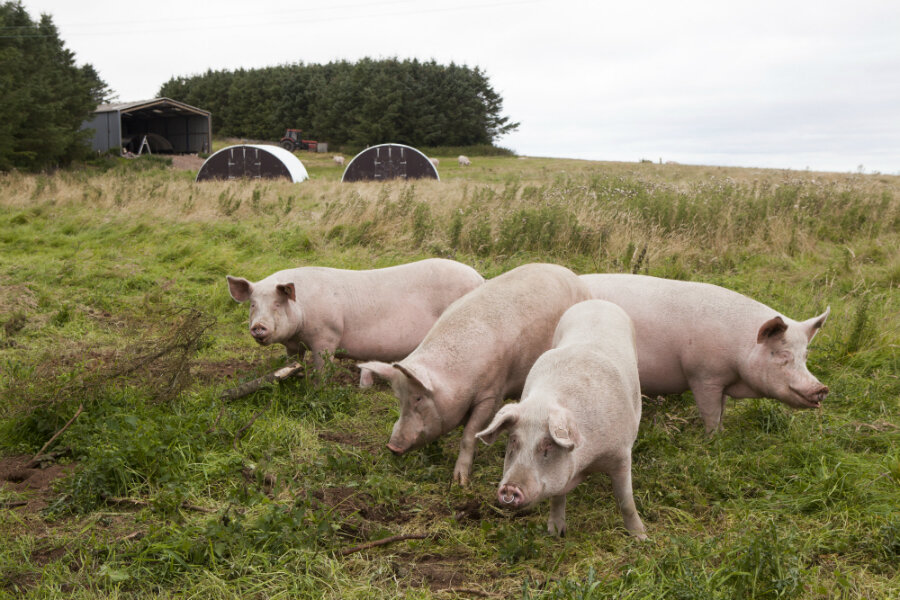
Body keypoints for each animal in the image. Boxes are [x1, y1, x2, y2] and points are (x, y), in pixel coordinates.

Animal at [226, 258, 483, 386]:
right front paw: (293, 377)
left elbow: (322, 365)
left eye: (277, 304)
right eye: (253, 304)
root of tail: (480, 278)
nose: (258, 326)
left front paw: (317, 388)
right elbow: (292, 362)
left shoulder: (327, 335)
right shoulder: (293, 344)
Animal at [359, 263, 591, 485]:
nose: (392, 447)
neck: (457, 378)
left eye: (418, 398)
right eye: (399, 399)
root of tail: (572, 275)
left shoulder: (491, 394)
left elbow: (469, 435)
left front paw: (460, 481)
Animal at [476, 300, 646, 538]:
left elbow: (626, 500)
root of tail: (597, 301)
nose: (510, 488)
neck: (586, 464)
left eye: (547, 445)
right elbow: (557, 498)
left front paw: (641, 537)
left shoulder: (621, 455)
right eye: (513, 441)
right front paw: (556, 532)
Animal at [580, 274, 831, 432]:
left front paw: (723, 431)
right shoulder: (703, 374)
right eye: (782, 355)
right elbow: (710, 411)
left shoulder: (722, 380)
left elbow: (722, 409)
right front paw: (712, 438)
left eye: (805, 356)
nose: (821, 388)